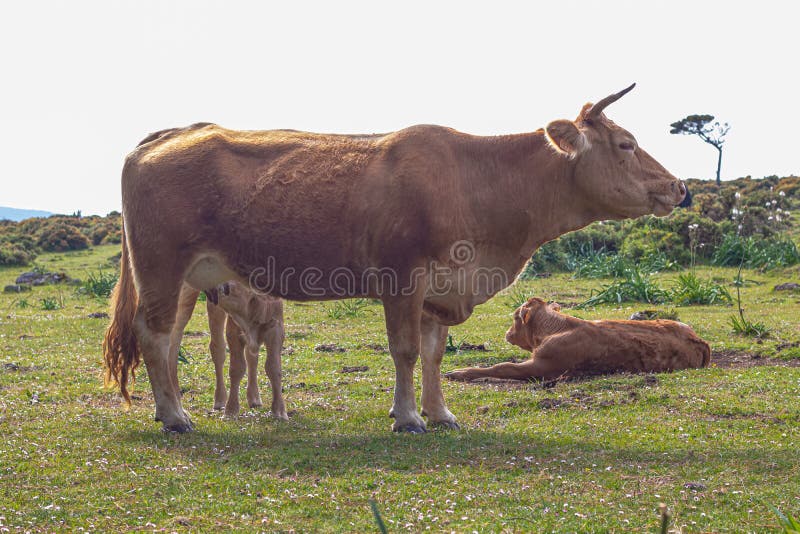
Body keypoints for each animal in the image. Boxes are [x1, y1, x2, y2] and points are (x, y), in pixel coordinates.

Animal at [168, 282, 287, 419]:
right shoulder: (233, 330)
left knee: (251, 357)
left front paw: (279, 411)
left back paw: (254, 398)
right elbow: (237, 368)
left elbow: (274, 368)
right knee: (217, 349)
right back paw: (220, 400)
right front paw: (231, 410)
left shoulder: (276, 328)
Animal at [445, 298, 710, 382]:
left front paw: (461, 373)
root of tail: (697, 338)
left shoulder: (542, 366)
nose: (507, 333)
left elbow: (504, 367)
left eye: (514, 317)